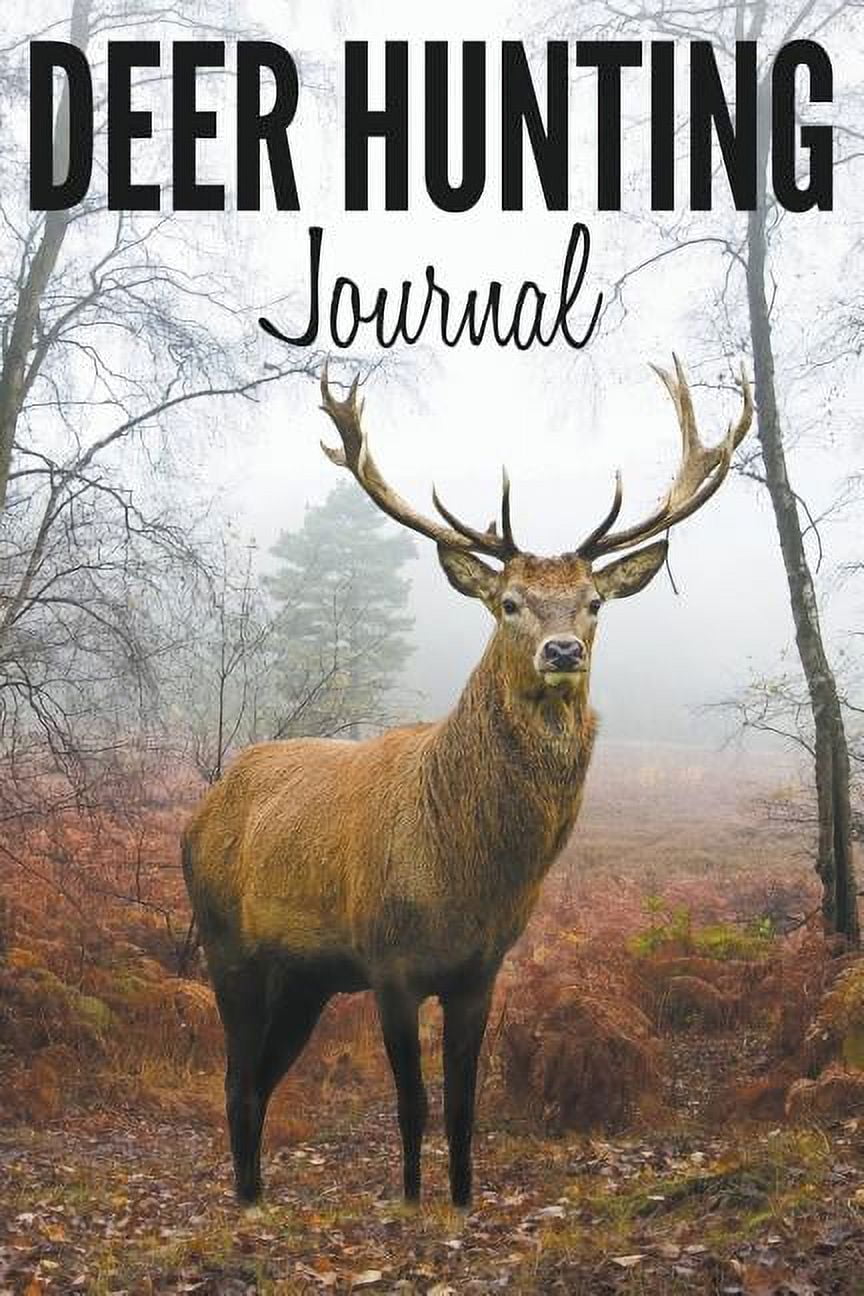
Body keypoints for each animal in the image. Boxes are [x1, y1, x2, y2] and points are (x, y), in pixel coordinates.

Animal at [182, 356, 752, 1208]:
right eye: (508, 602)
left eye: (593, 603)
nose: (561, 651)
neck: (463, 872)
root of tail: (201, 811)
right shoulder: (388, 963)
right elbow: (411, 1105)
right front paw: (413, 1202)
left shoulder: (480, 971)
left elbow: (462, 1107)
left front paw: (459, 1201)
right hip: (228, 947)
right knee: (236, 1081)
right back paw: (248, 1205)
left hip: (305, 978)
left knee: (261, 1079)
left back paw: (256, 1197)